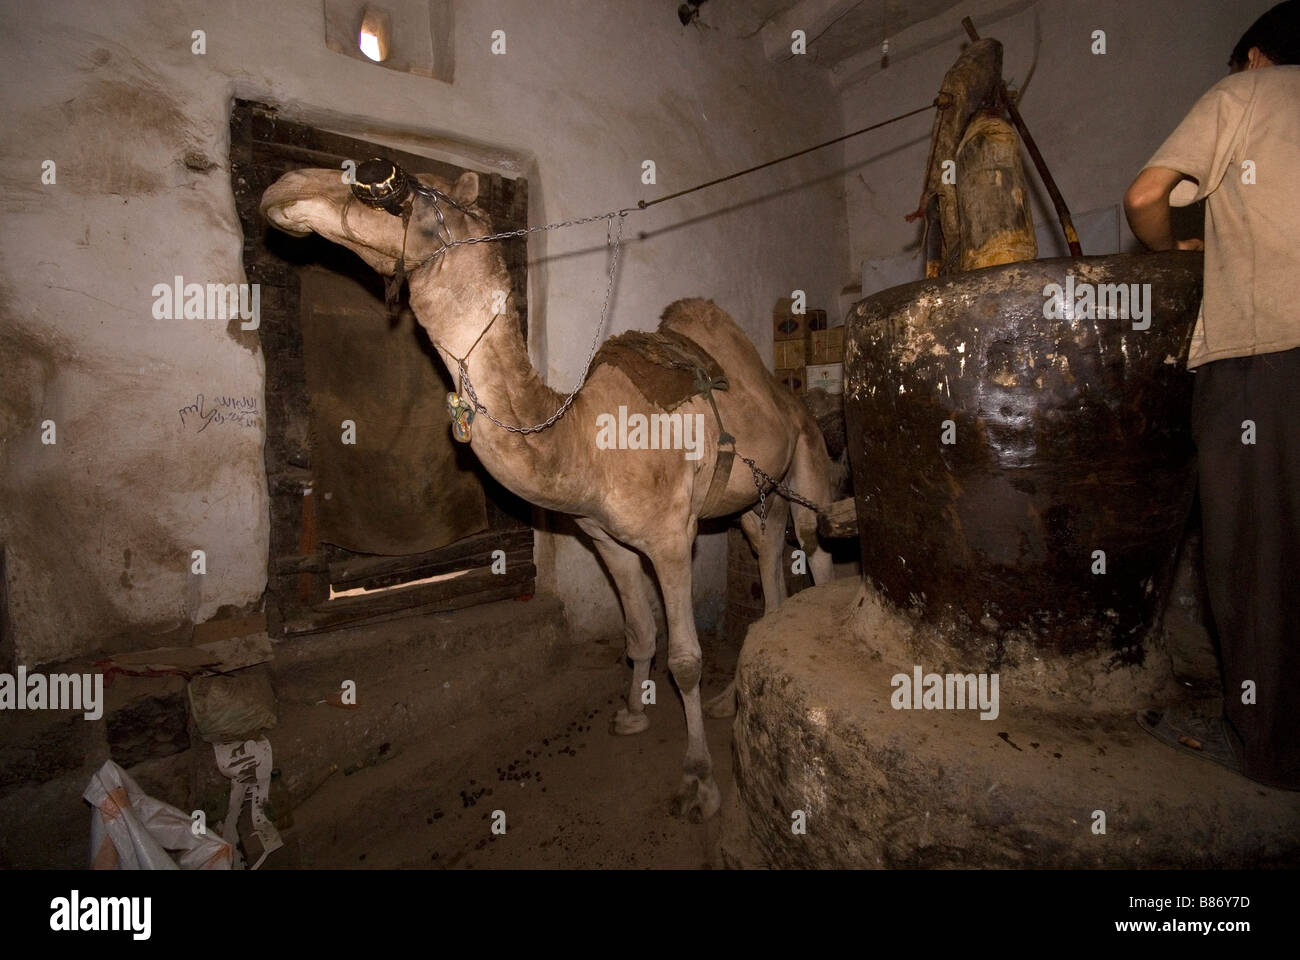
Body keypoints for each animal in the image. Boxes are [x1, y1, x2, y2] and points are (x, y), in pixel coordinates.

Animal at [260, 164, 834, 821]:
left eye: (395, 189)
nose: (287, 187)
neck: (583, 441)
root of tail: (787, 392)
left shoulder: (669, 539)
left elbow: (685, 660)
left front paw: (698, 779)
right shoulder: (606, 539)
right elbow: (639, 632)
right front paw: (632, 716)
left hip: (807, 455)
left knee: (815, 546)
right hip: (751, 499)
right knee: (767, 551)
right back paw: (728, 698)